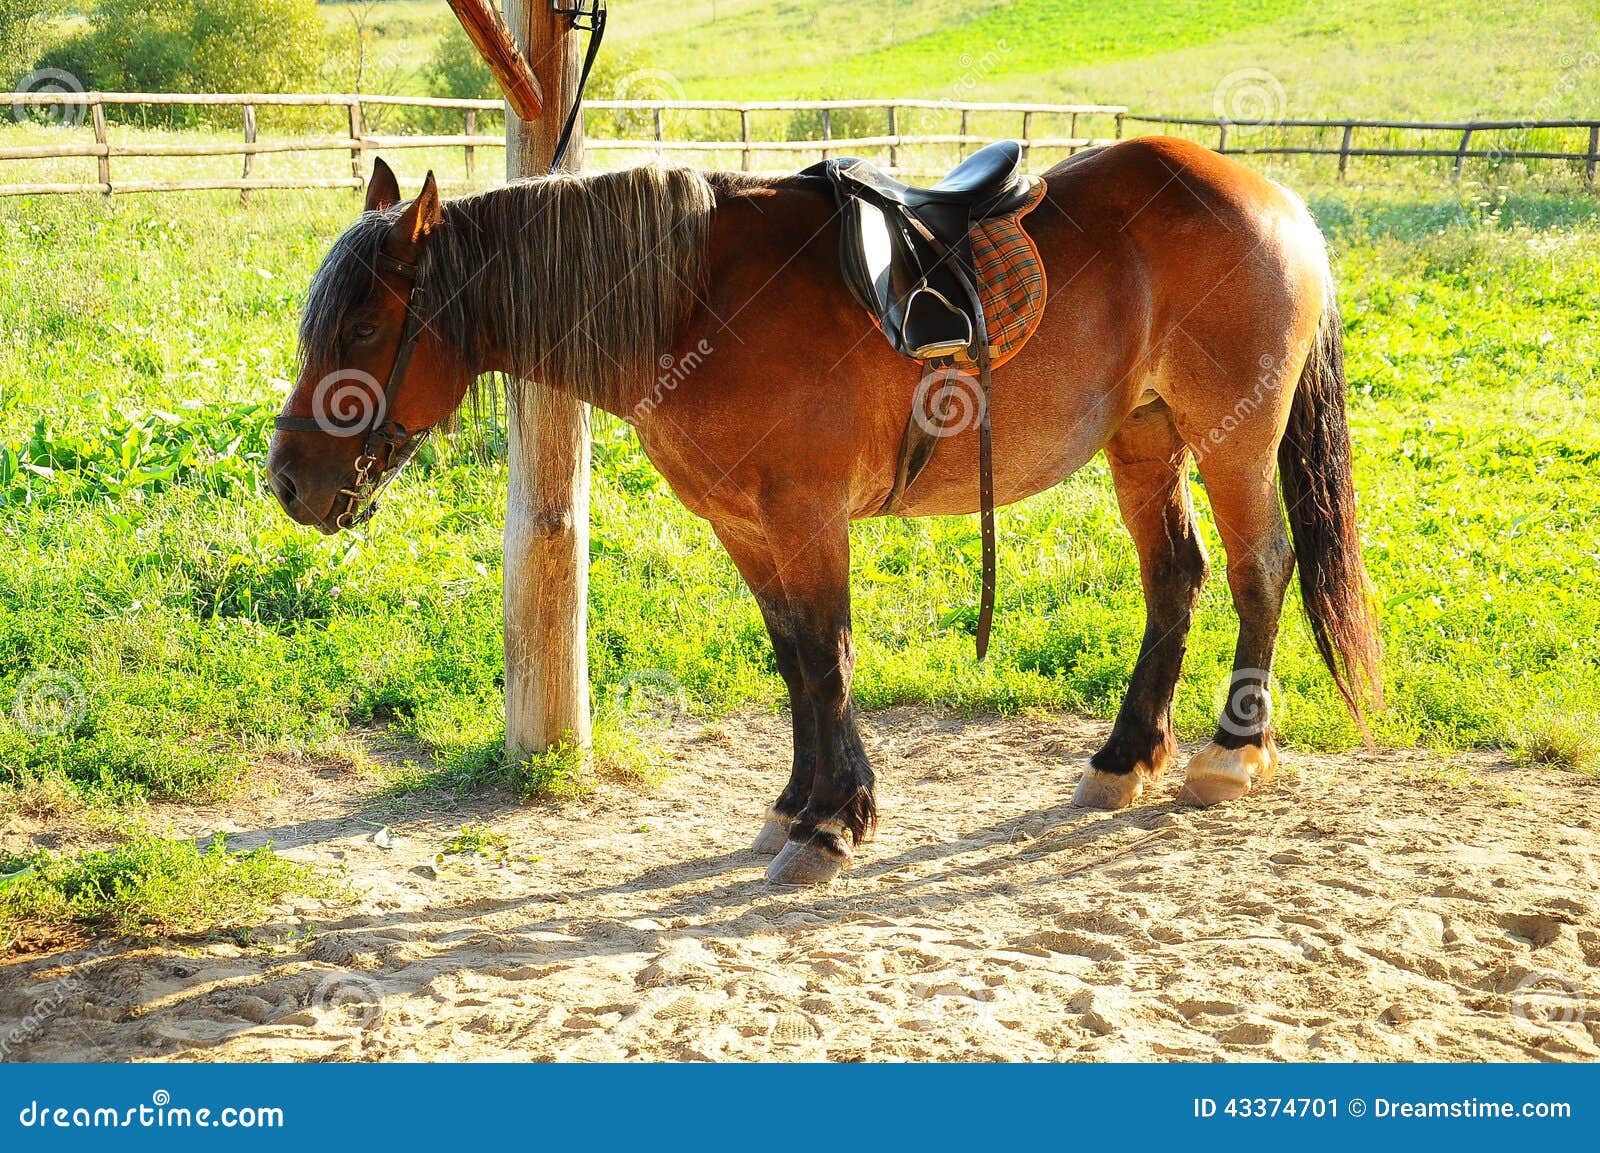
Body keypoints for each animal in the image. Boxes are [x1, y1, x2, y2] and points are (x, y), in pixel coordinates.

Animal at [267, 142, 1382, 885]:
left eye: (361, 325)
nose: (286, 483)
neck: (690, 299)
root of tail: (1272, 196)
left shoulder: (806, 517)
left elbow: (833, 654)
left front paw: (834, 824)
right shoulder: (746, 525)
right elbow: (797, 658)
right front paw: (797, 805)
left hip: (1233, 438)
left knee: (1258, 569)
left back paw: (1231, 753)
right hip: (1144, 440)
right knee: (1174, 579)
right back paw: (1123, 758)